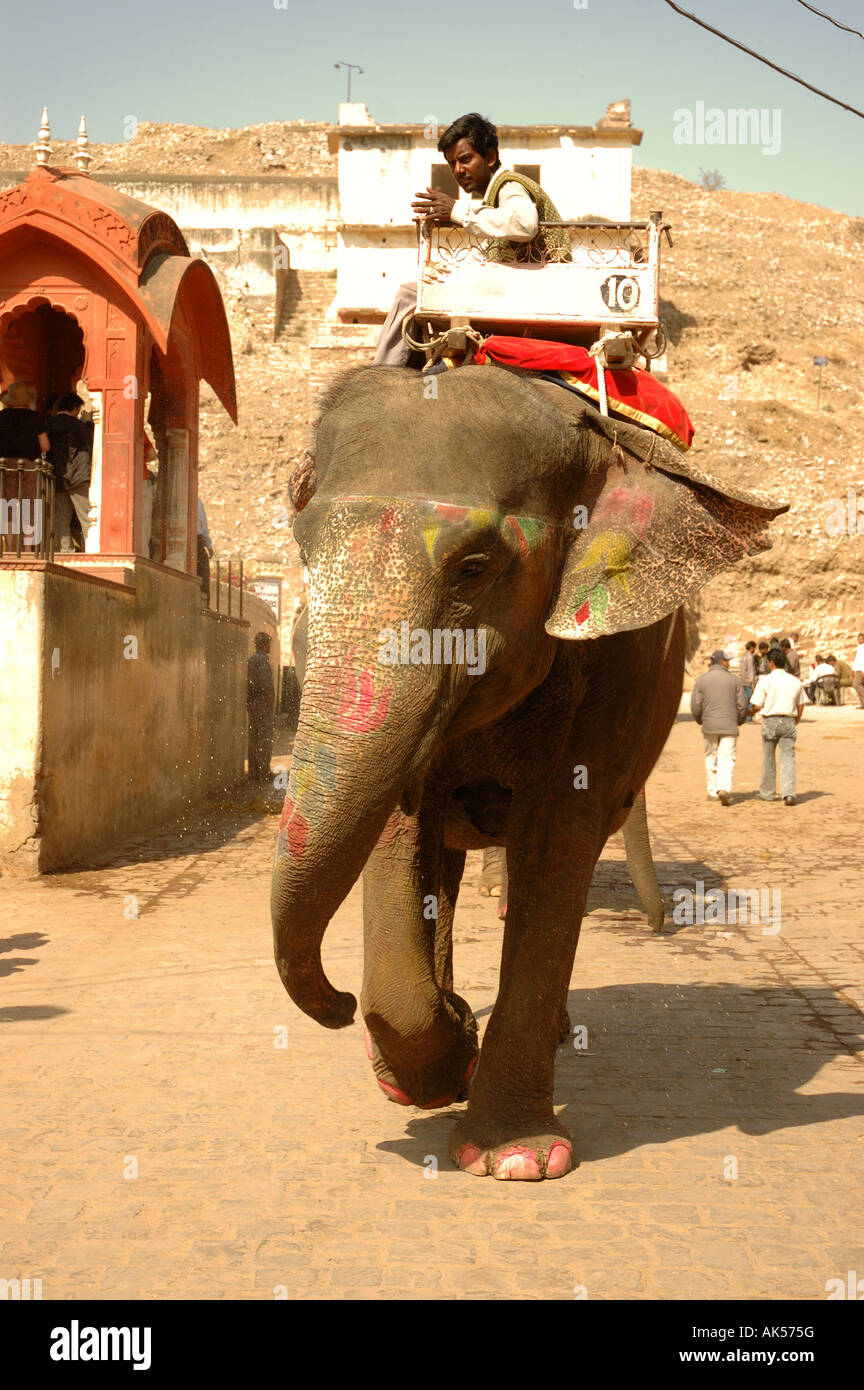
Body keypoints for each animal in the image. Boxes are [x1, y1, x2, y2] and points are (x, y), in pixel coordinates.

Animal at [271, 364, 787, 1181]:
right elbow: (399, 829)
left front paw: (517, 1157)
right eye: (303, 550)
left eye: (474, 568)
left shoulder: (617, 663)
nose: (337, 1004)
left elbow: (556, 841)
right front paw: (433, 1069)